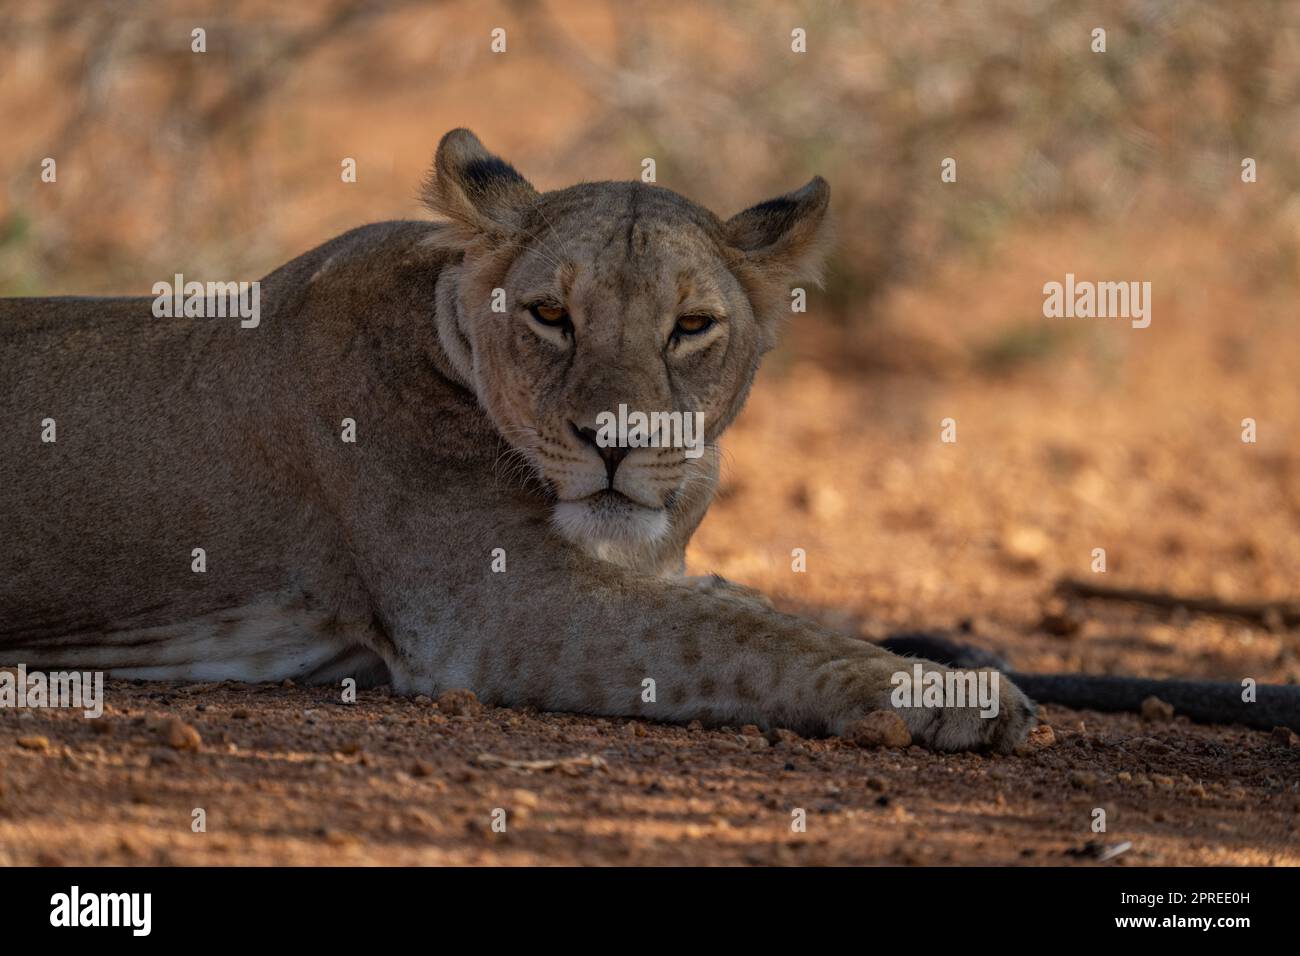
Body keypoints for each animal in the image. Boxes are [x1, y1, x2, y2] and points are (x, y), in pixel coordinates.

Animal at [0, 129, 1035, 752]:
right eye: (549, 315)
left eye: (692, 327)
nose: (617, 438)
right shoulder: (496, 611)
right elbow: (745, 636)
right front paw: (955, 693)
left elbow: (752, 609)